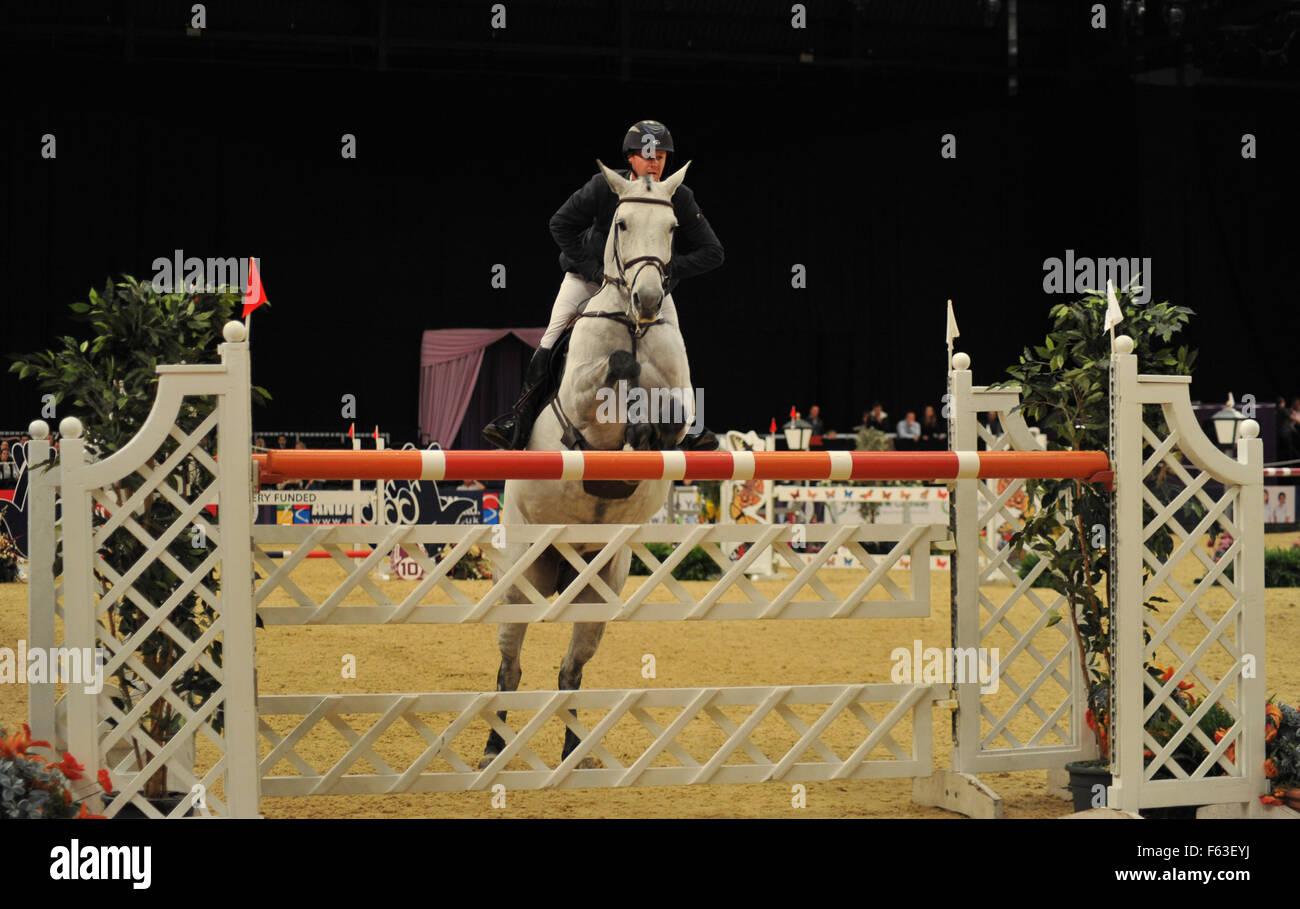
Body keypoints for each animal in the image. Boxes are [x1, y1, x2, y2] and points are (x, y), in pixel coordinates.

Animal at [480, 161, 697, 770]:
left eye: (673, 229)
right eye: (619, 224)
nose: (647, 299)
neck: (634, 326)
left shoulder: (679, 405)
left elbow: (667, 417)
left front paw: (643, 435)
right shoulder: (580, 407)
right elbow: (614, 372)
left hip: (600, 587)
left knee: (570, 671)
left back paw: (575, 752)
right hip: (520, 577)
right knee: (510, 665)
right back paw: (493, 750)